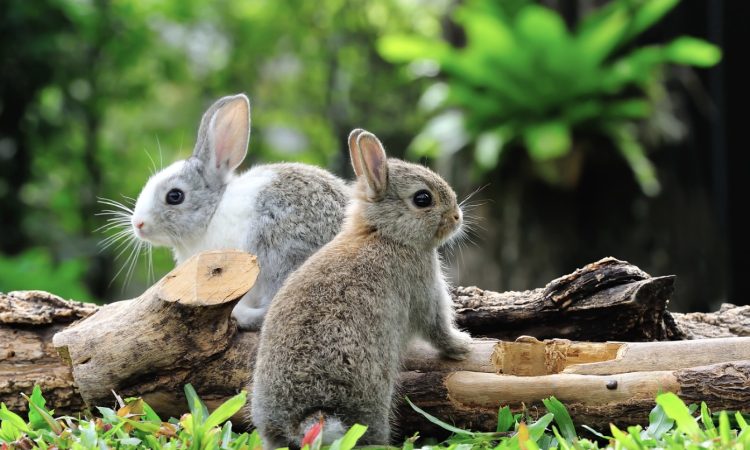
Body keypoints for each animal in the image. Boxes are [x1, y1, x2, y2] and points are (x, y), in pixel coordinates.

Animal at [250, 129, 473, 449]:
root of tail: (304, 419)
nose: (457, 217)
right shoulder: (424, 288)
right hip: (371, 399)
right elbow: (437, 328)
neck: (384, 234)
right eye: (423, 198)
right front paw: (463, 346)